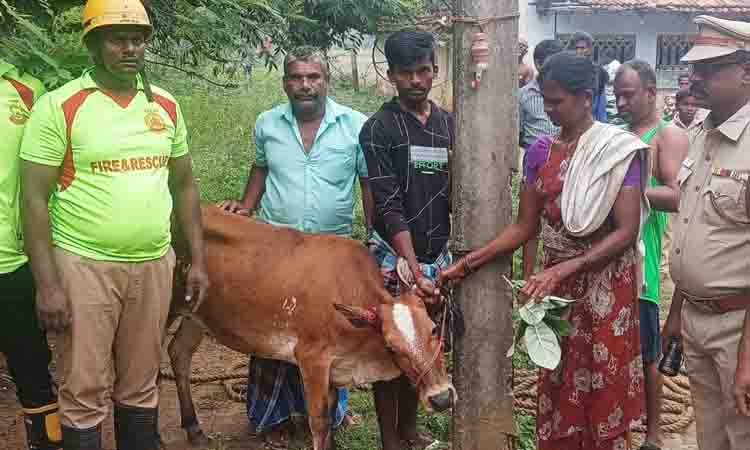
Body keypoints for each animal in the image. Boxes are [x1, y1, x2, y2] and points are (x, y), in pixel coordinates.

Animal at [166, 205, 455, 450]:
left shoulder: (335, 369)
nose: (441, 398)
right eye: (391, 346)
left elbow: (330, 424)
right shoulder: (312, 359)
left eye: (433, 328)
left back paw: (194, 429)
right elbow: (319, 424)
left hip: (198, 316)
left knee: (179, 352)